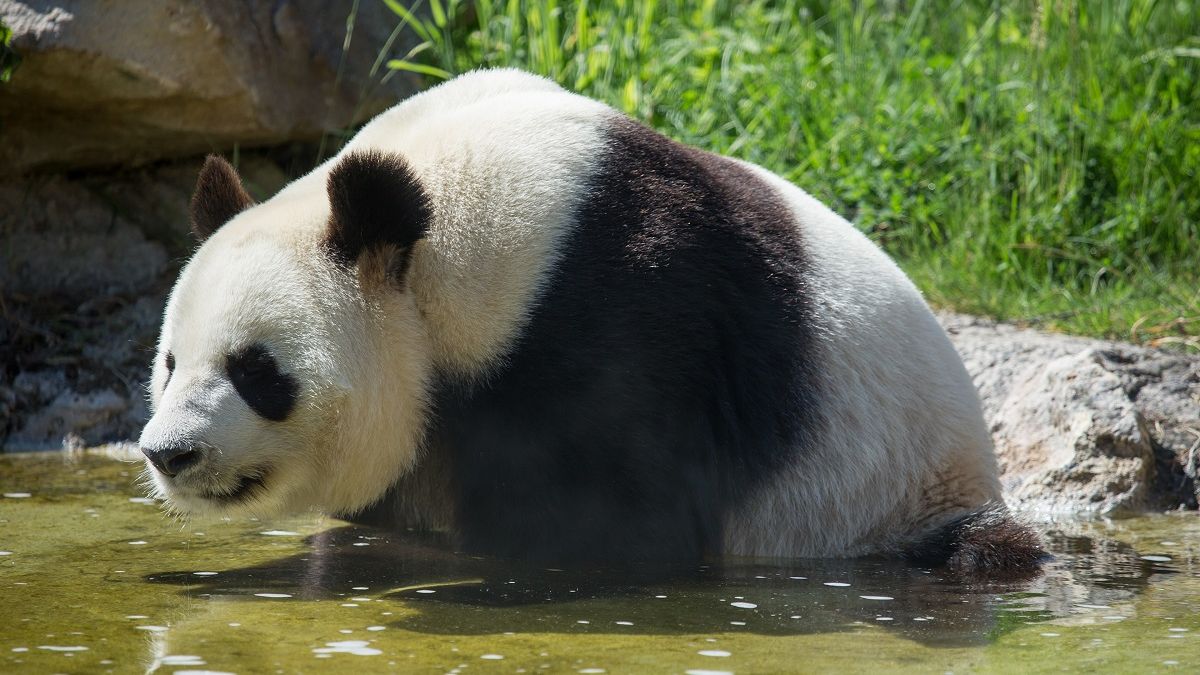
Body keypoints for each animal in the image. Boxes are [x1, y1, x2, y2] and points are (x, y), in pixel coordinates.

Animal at [139, 68, 1043, 575]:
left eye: (257, 370)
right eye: (171, 362)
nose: (168, 453)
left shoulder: (616, 318)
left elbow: (620, 522)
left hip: (889, 495)